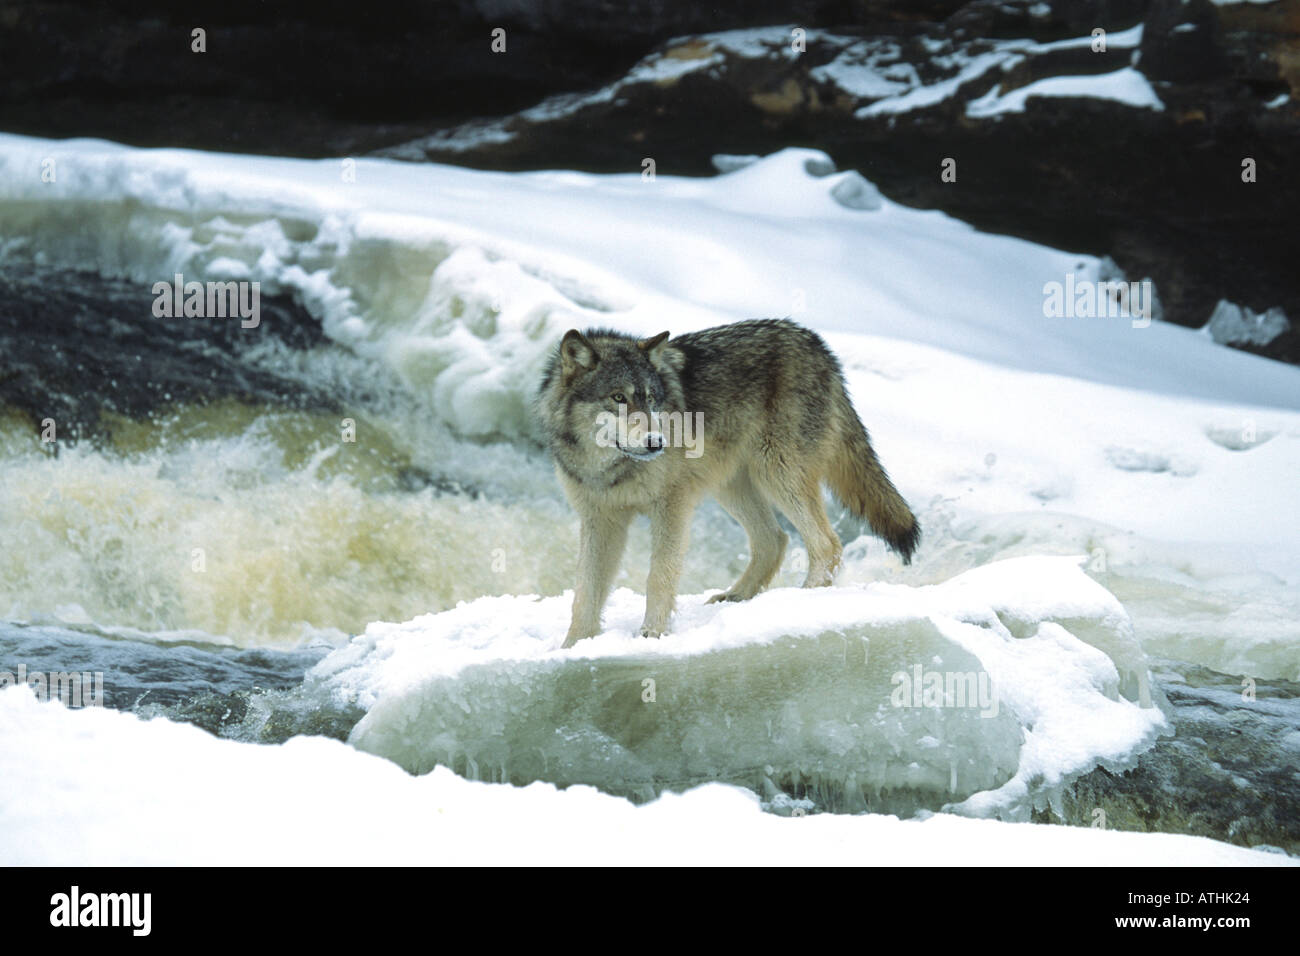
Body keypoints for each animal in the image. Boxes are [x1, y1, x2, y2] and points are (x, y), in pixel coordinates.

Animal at [537, 318, 919, 647]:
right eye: (618, 398)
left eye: (650, 399)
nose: (657, 442)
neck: (610, 467)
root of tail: (814, 341)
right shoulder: (601, 520)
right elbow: (585, 591)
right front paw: (573, 646)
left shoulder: (672, 506)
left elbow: (659, 575)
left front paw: (652, 635)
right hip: (734, 487)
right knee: (775, 539)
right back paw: (737, 597)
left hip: (777, 474)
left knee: (827, 544)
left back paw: (802, 600)